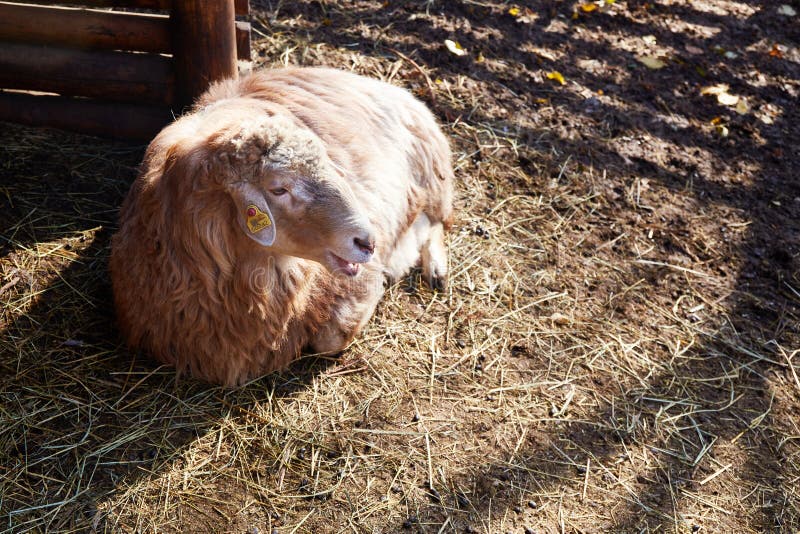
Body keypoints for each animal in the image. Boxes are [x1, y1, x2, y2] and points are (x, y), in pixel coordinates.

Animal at [109, 67, 454, 386]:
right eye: (278, 189)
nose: (368, 243)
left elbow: (332, 337)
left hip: (429, 166)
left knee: (436, 218)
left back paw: (434, 268)